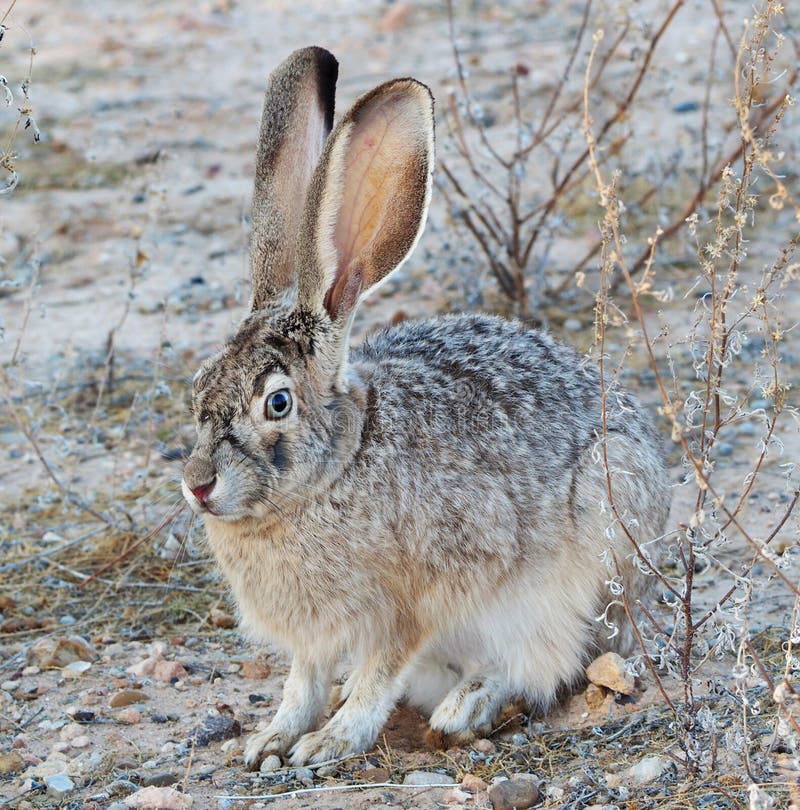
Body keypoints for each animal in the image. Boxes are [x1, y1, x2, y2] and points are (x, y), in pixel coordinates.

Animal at [181, 45, 670, 768]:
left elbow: (378, 676)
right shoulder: (314, 641)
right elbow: (303, 681)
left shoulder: (408, 609)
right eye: (199, 387)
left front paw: (330, 741)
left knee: (555, 661)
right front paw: (272, 737)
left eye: (278, 403)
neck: (333, 471)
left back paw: (465, 706)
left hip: (597, 554)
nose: (198, 486)